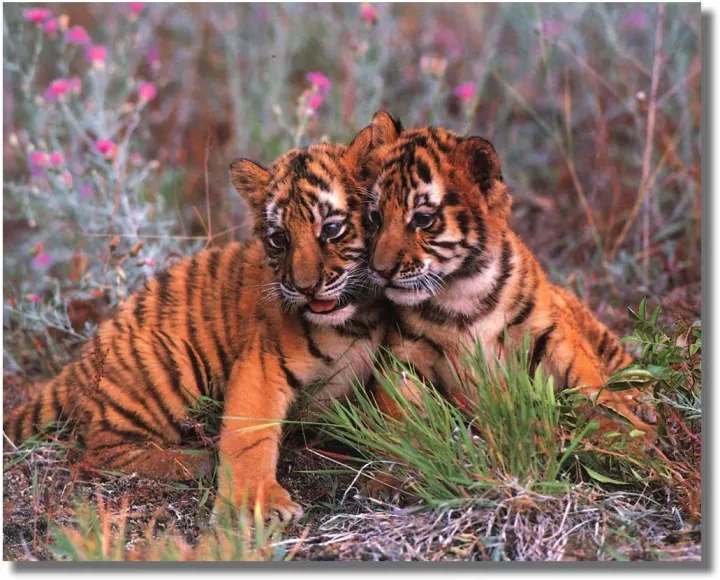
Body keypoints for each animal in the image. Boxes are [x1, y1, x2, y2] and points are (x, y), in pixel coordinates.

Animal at [3, 126, 389, 520]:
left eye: (331, 229)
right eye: (279, 238)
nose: (305, 287)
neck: (355, 318)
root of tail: (75, 365)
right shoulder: (263, 364)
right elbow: (249, 436)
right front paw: (257, 505)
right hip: (171, 362)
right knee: (97, 453)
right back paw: (197, 460)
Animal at [360, 111, 657, 436]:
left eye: (423, 219)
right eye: (376, 217)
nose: (380, 270)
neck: (460, 290)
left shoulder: (551, 332)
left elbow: (591, 385)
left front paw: (635, 433)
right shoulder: (402, 358)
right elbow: (399, 414)